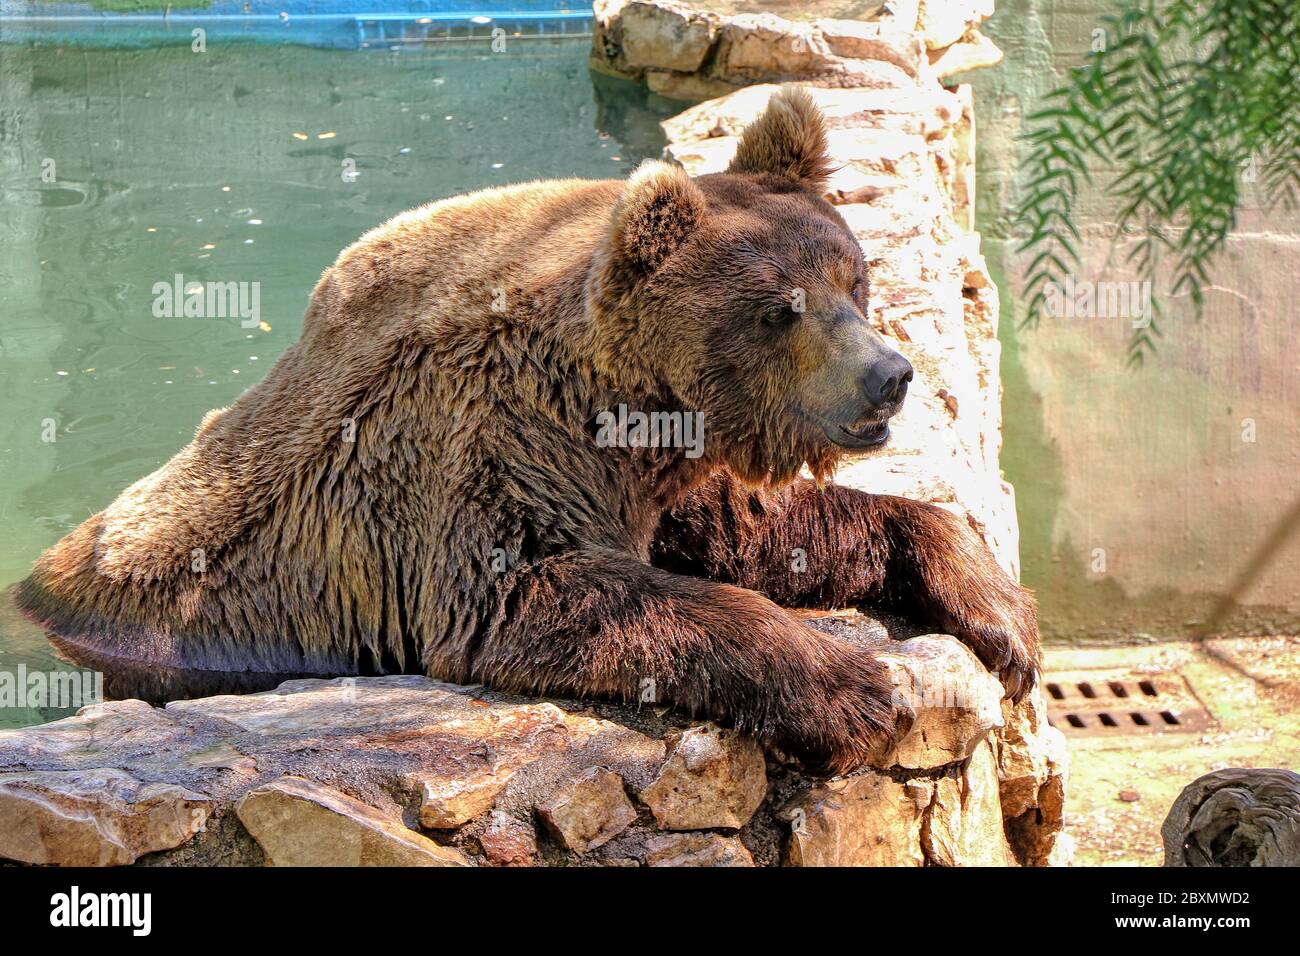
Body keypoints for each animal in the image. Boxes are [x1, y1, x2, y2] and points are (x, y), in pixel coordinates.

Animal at [14, 88, 1037, 775]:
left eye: (852, 280)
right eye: (780, 309)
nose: (890, 376)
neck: (626, 410)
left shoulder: (653, 478)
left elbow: (766, 528)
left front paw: (1000, 610)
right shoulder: (494, 452)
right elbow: (535, 592)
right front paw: (854, 687)